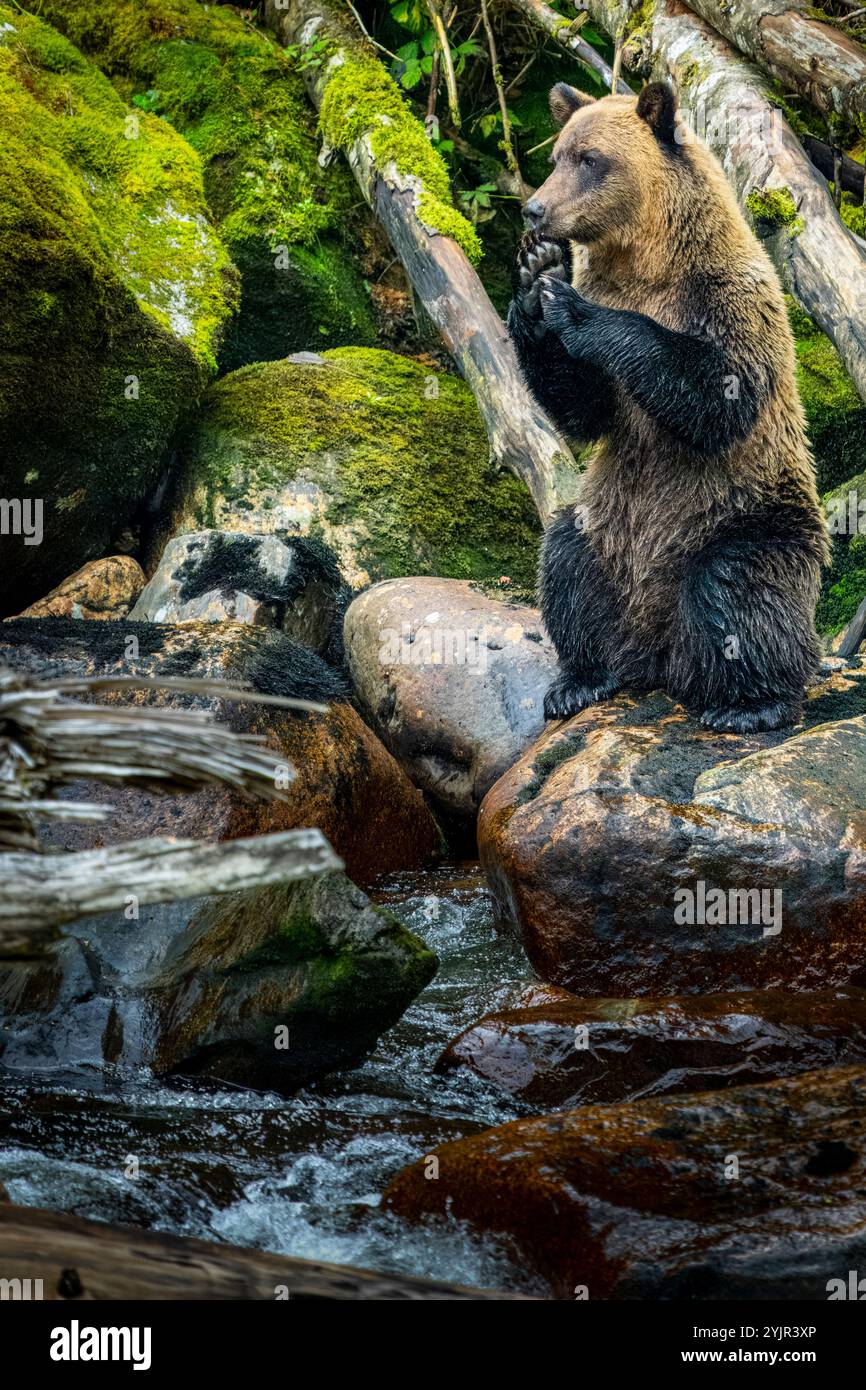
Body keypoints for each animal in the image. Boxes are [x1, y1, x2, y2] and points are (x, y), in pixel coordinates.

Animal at [507, 80, 829, 733]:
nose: (535, 210)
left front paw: (573, 308)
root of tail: (660, 648)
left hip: (752, 518)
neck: (647, 262)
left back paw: (751, 703)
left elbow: (718, 392)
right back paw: (582, 679)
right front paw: (535, 276)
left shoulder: (727, 299)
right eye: (556, 154)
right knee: (567, 561)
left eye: (590, 159)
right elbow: (586, 409)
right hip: (607, 526)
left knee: (738, 589)